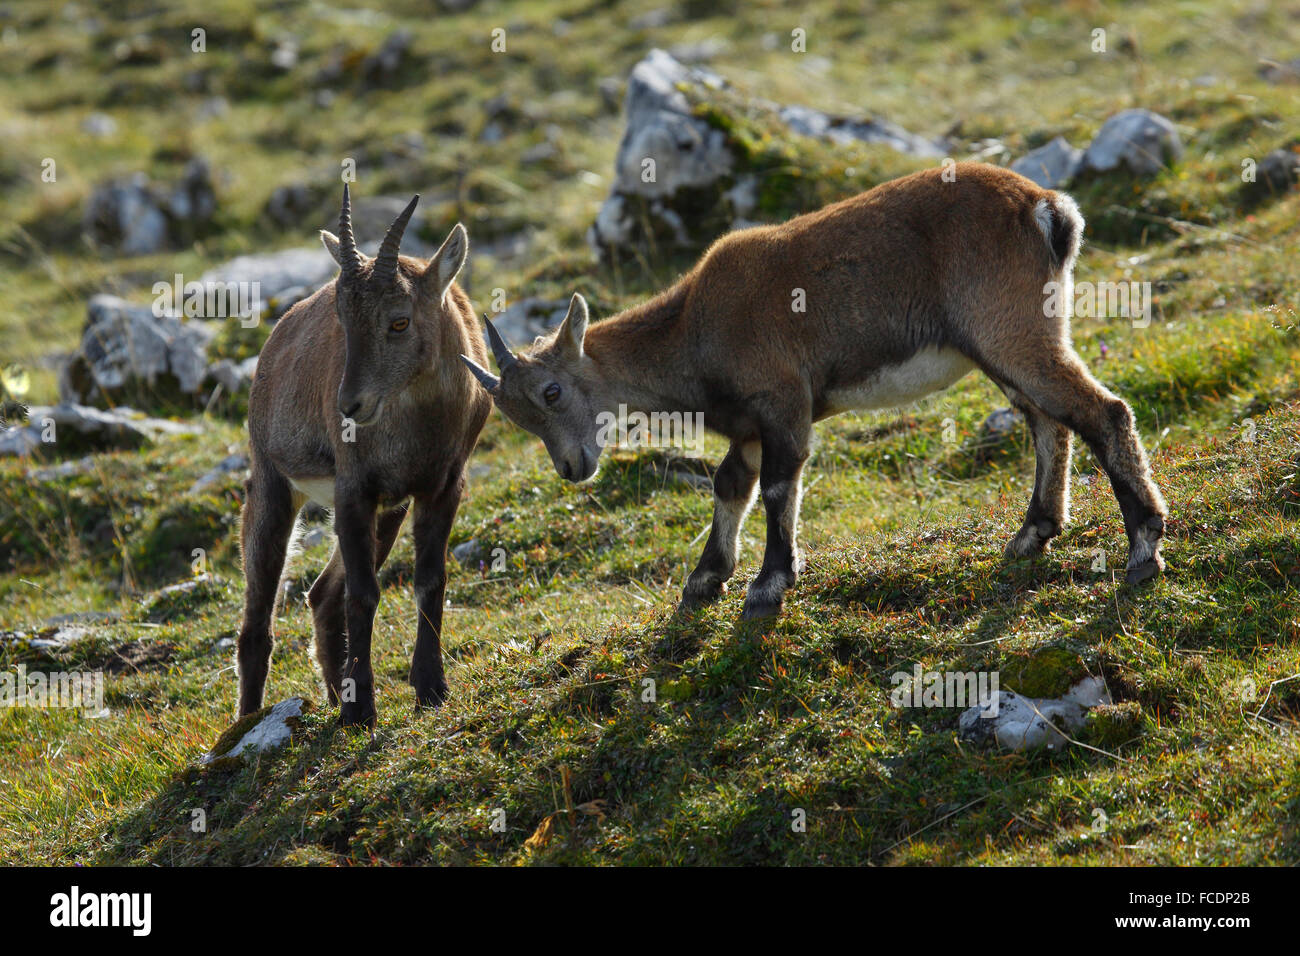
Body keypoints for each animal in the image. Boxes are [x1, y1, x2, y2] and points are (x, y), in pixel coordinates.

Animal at [237, 186, 490, 725]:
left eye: (399, 321)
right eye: (342, 318)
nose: (348, 405)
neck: (417, 426)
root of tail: (273, 345)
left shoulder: (440, 487)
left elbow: (430, 580)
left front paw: (430, 687)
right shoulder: (354, 489)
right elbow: (364, 592)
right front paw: (361, 711)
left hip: (389, 511)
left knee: (320, 595)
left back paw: (335, 693)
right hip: (273, 485)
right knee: (259, 624)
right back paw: (247, 723)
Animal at [462, 163, 1167, 620]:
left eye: (552, 392)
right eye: (515, 416)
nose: (572, 467)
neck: (693, 327)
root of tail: (1046, 207)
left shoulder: (782, 403)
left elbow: (779, 485)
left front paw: (770, 583)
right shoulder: (749, 426)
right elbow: (732, 485)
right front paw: (705, 578)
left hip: (1010, 329)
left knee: (1101, 411)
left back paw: (1143, 548)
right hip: (999, 346)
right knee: (1048, 420)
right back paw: (1033, 534)